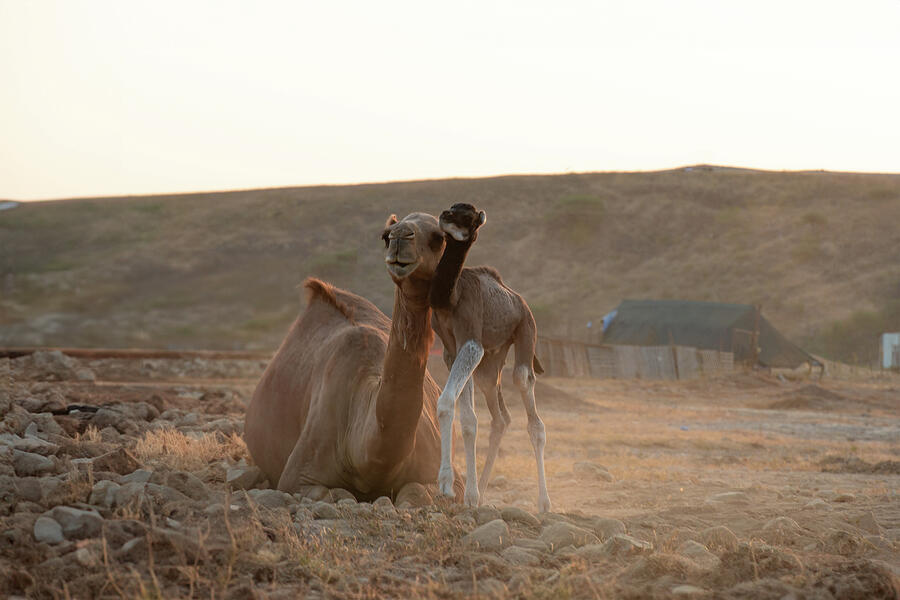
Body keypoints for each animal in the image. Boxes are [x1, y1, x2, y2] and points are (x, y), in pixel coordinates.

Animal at [243, 212, 462, 503]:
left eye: (439, 238)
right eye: (385, 236)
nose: (400, 238)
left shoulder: (449, 475)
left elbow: (416, 492)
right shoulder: (296, 477)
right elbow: (336, 493)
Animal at [429, 203, 551, 512]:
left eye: (468, 216)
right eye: (452, 207)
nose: (444, 216)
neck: (451, 297)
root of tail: (520, 301)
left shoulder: (471, 341)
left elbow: (447, 403)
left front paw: (447, 486)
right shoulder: (451, 348)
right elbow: (468, 420)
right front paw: (468, 495)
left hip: (526, 332)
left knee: (529, 404)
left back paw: (544, 502)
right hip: (492, 360)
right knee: (500, 418)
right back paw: (482, 493)